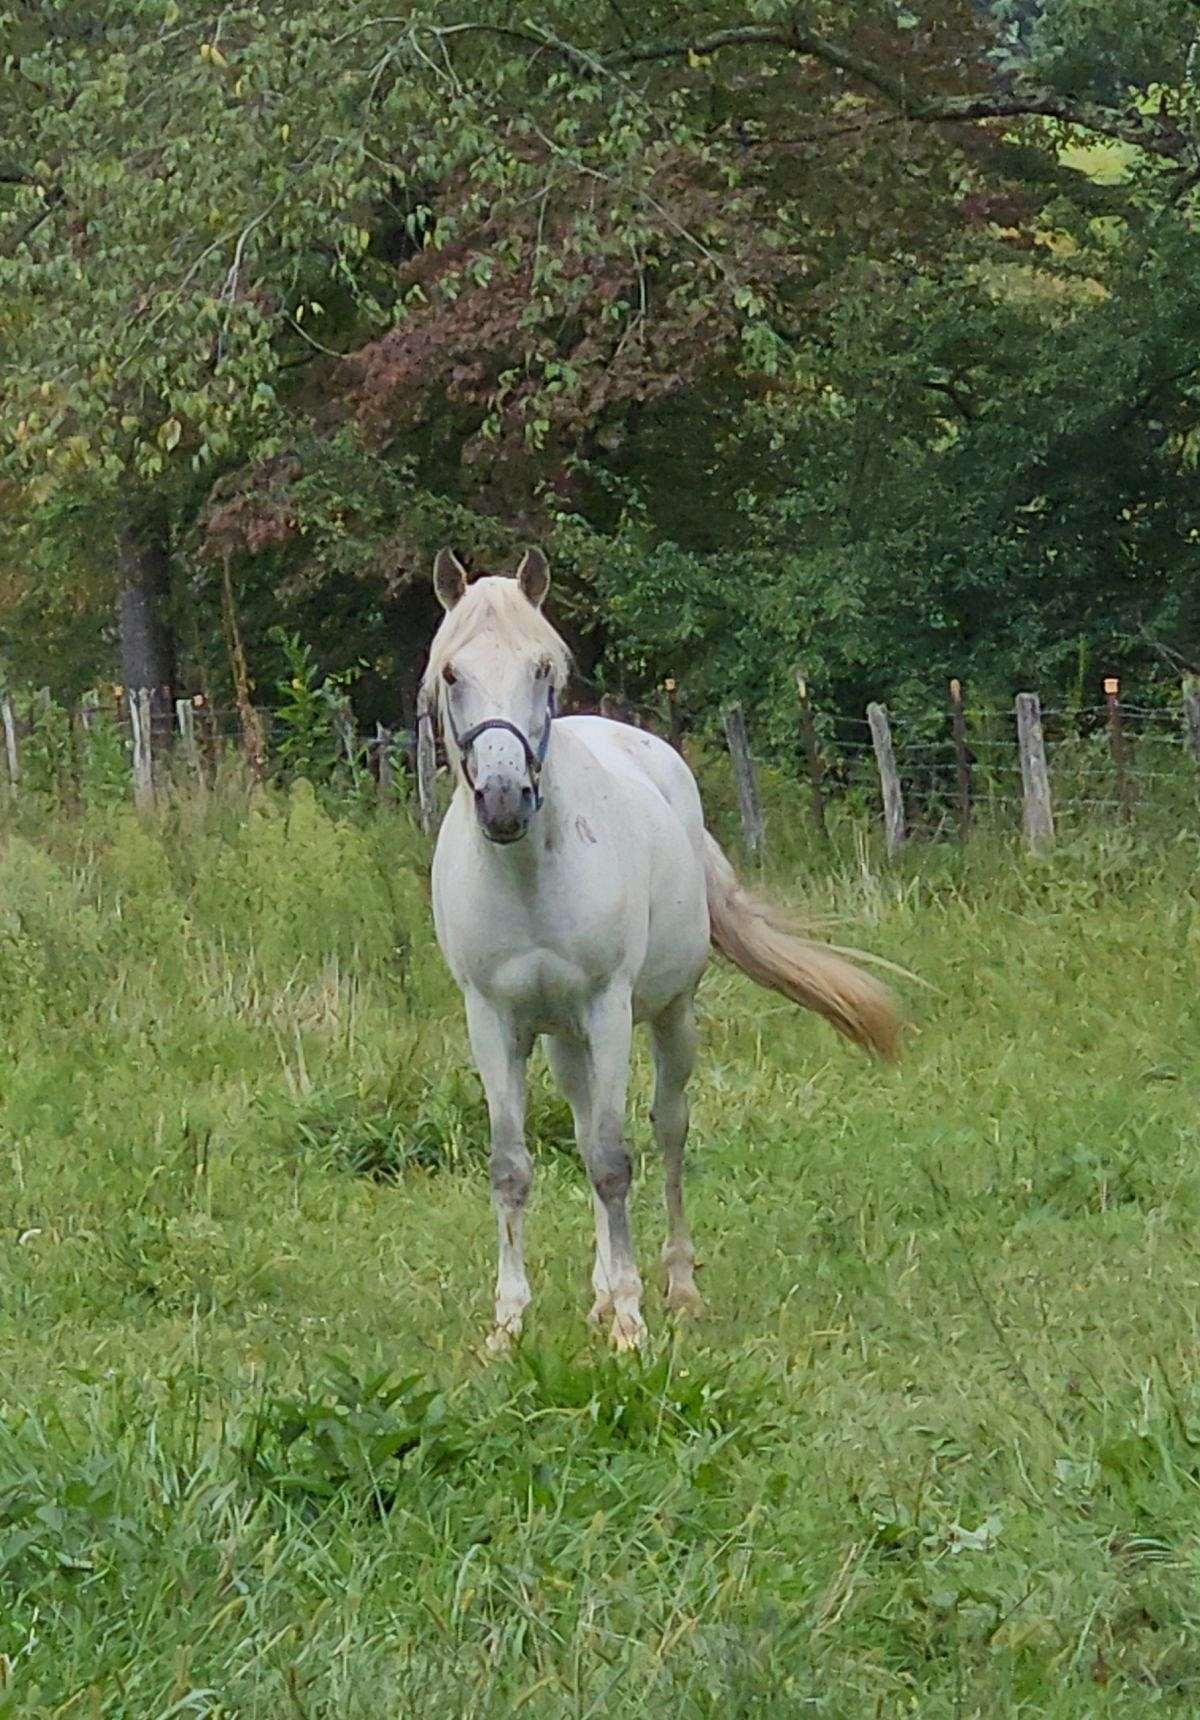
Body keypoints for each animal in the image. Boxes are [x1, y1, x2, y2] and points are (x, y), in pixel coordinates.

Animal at [424, 547, 899, 1352]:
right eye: (453, 673)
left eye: (542, 668)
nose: (504, 801)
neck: (527, 877)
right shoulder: (491, 1018)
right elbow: (513, 1167)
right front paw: (510, 1325)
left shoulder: (608, 1008)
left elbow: (615, 1163)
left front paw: (631, 1321)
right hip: (564, 1040)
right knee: (583, 1129)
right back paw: (595, 1295)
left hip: (671, 1015)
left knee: (667, 1130)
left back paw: (677, 1286)